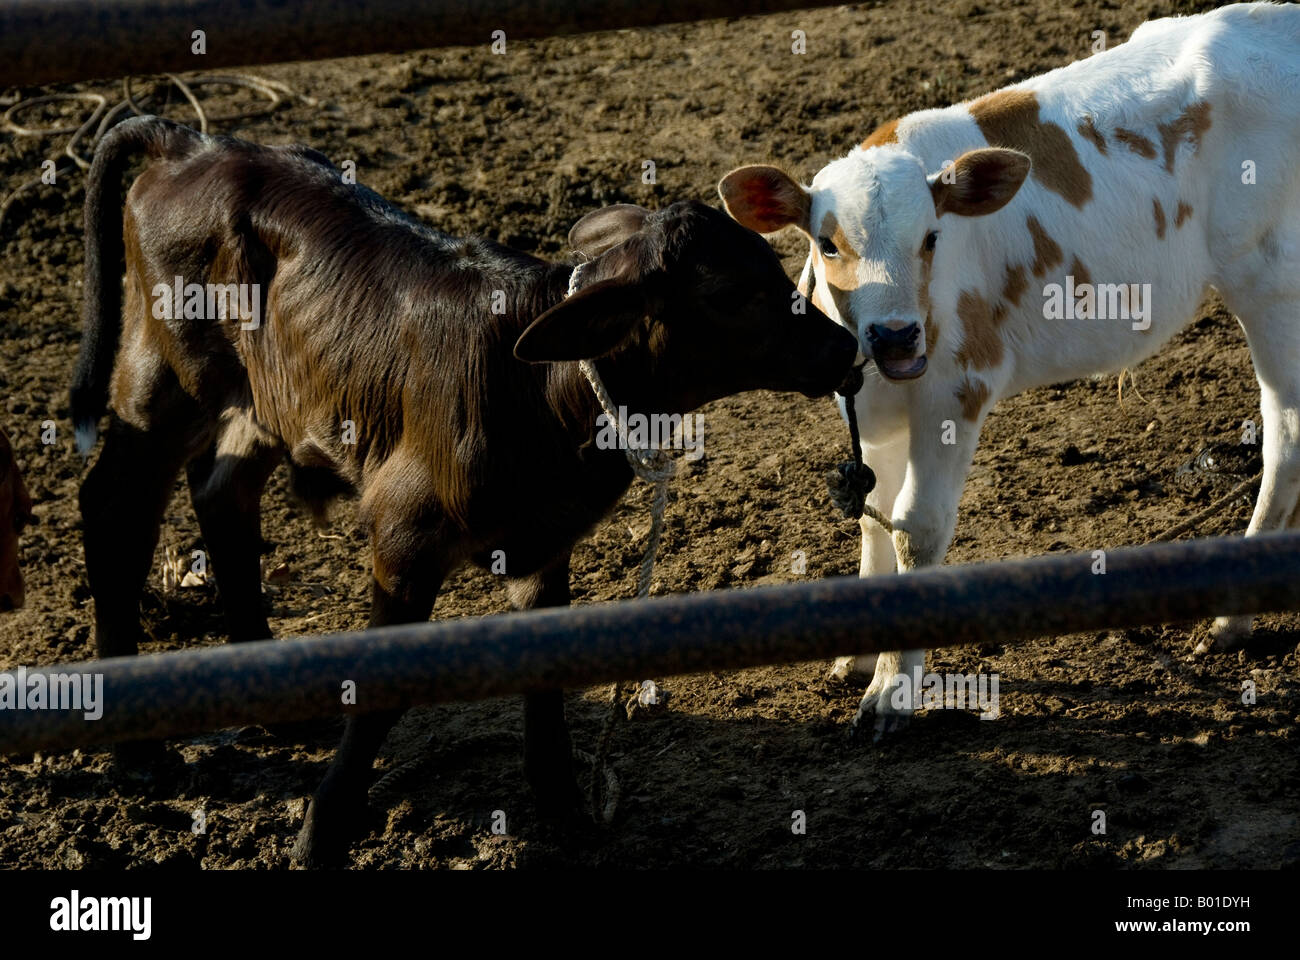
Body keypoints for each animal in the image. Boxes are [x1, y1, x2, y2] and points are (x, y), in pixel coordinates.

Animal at [71, 115, 858, 864]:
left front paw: (565, 808)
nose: (845, 346)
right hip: (163, 379)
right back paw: (136, 751)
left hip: (264, 398)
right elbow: (382, 694)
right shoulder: (402, 540)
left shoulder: (544, 543)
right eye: (731, 293)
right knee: (115, 504)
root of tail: (193, 143)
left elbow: (545, 680)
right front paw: (322, 831)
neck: (546, 395)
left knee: (221, 493)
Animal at [719, 2, 1300, 738]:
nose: (896, 334)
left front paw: (892, 691)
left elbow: (917, 530)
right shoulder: (871, 412)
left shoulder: (956, 388)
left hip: (1270, 279)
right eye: (827, 243)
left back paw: (1232, 618)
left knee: (1286, 436)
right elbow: (871, 519)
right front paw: (858, 655)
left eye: (931, 238)